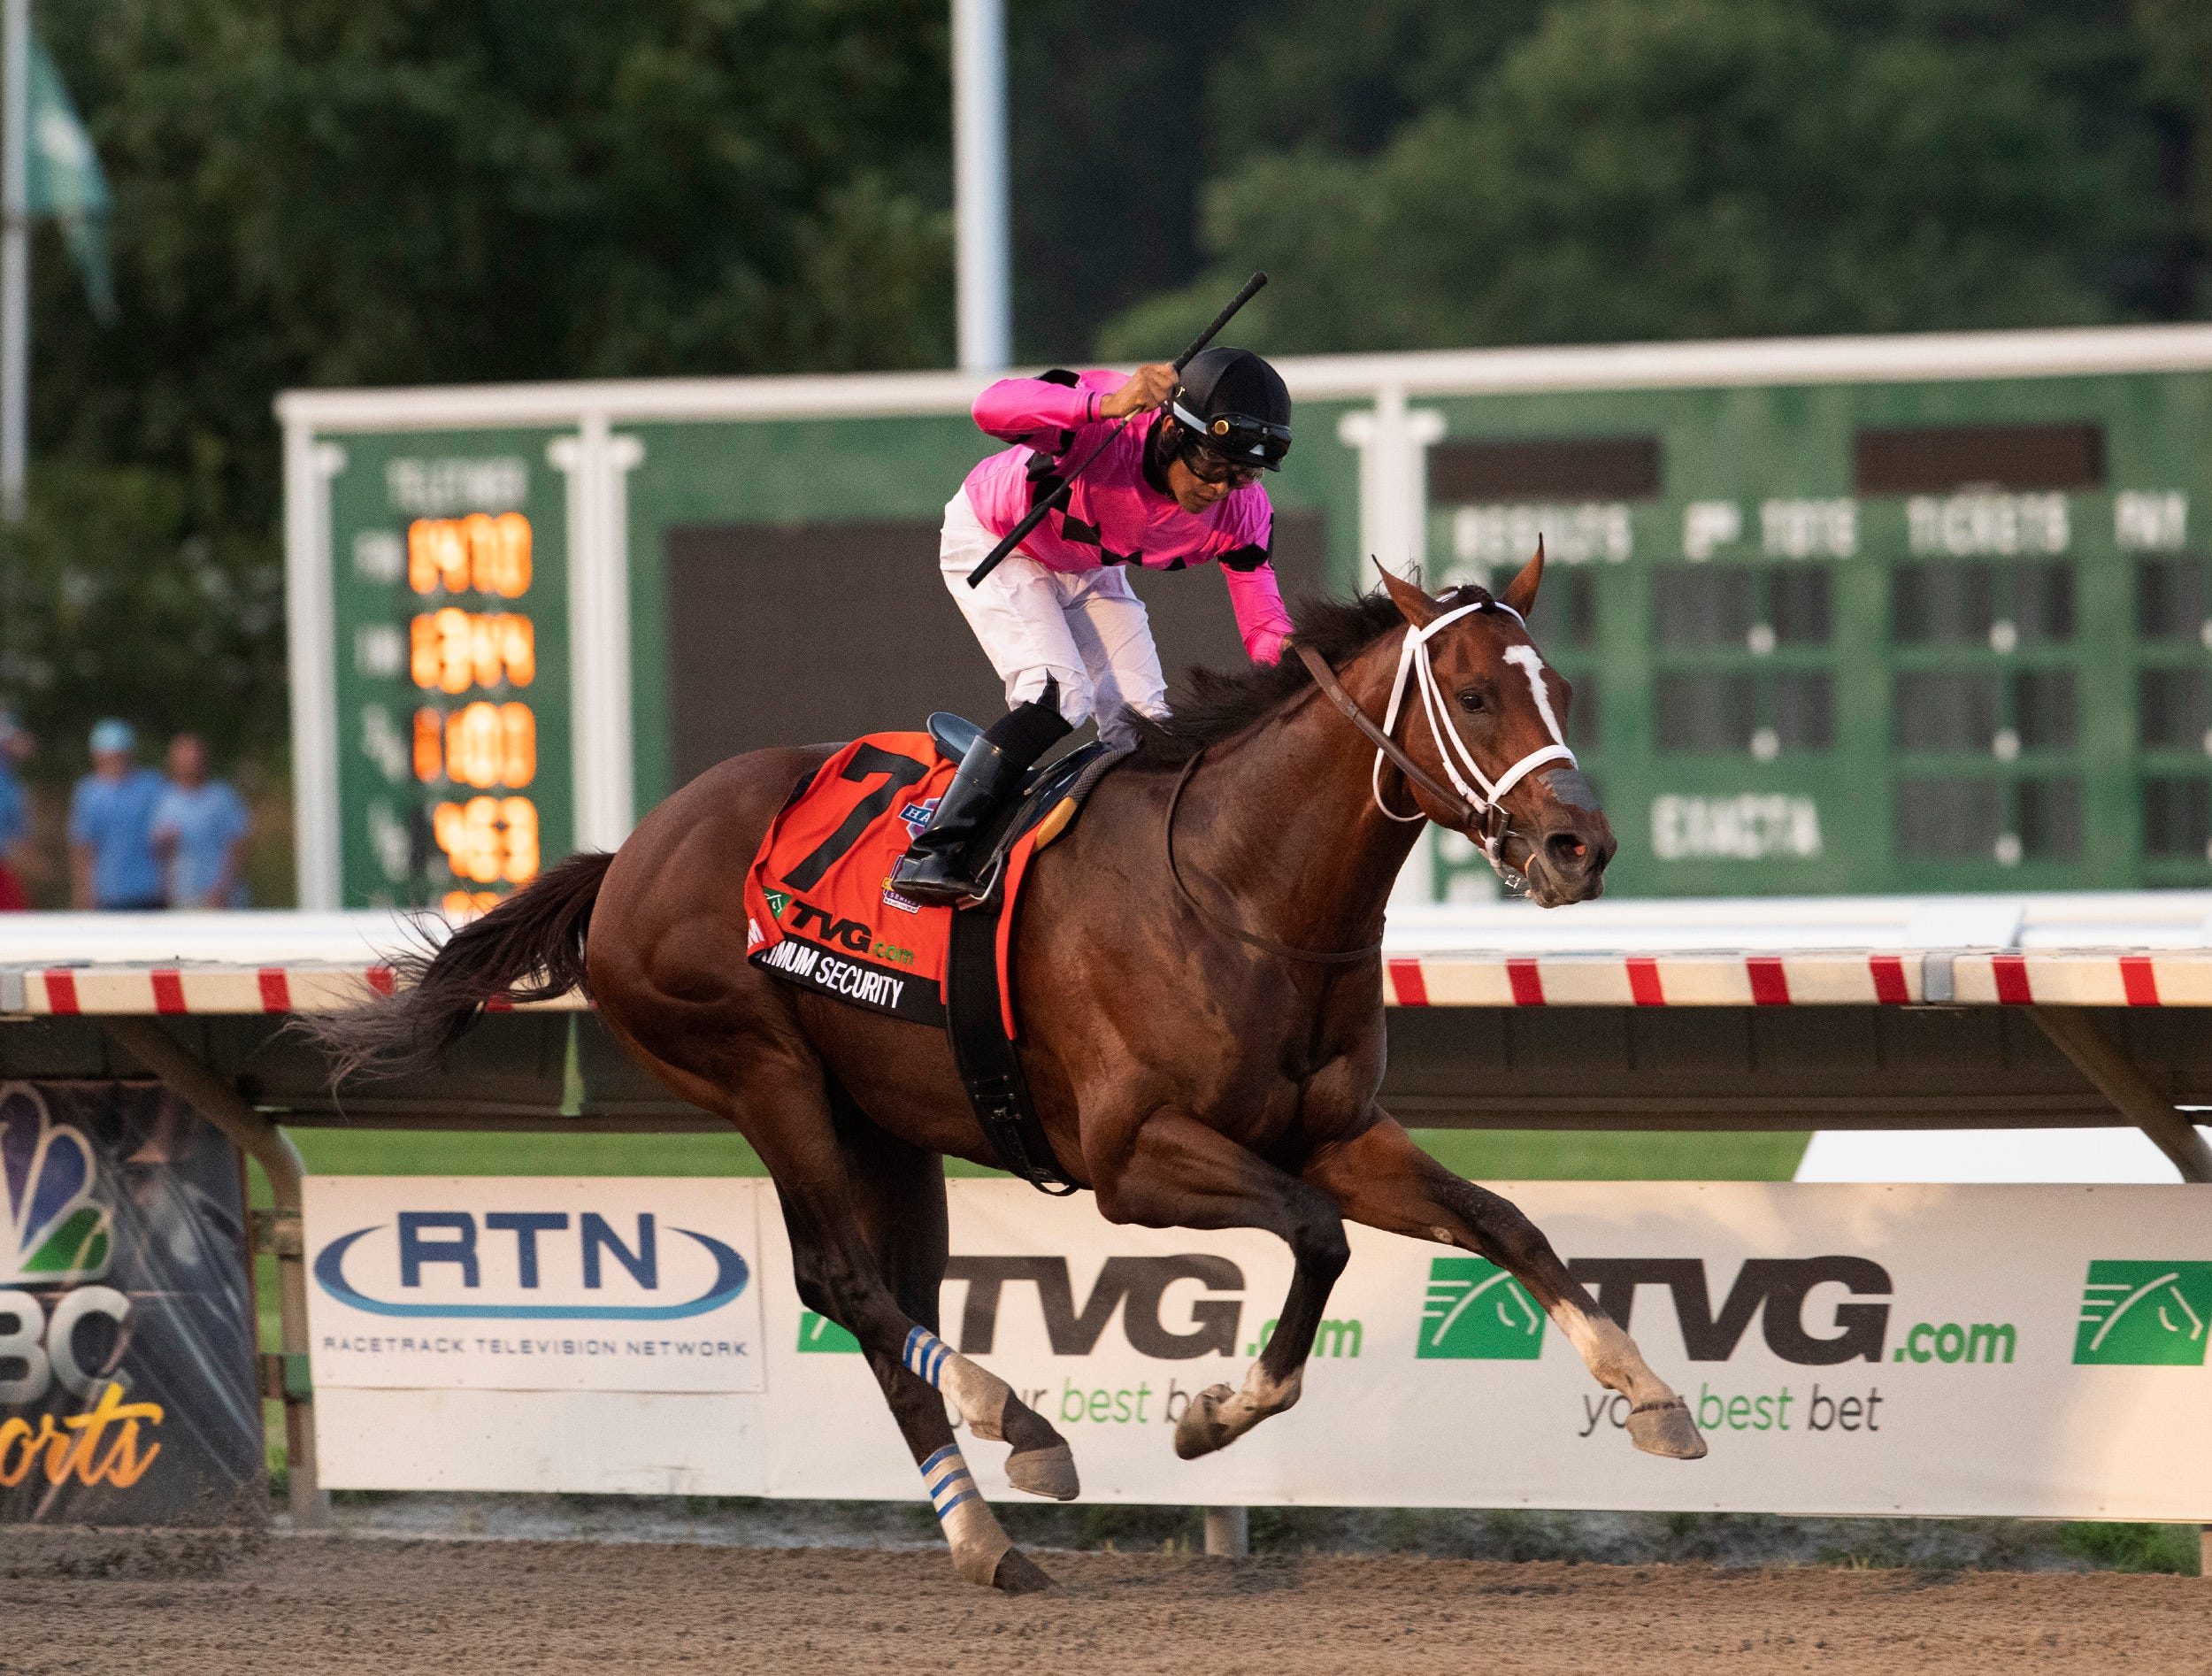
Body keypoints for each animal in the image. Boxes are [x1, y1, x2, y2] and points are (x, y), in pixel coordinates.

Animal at [309, 553, 1707, 1593]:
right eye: (1470, 694)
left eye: (1556, 683)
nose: (1579, 845)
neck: (1242, 887)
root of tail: (629, 855)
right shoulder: (1136, 1161)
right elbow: (1316, 1237)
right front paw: (1212, 1412)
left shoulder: (1335, 1132)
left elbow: (1504, 1219)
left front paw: (1651, 1396)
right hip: (759, 1071)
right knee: (841, 1278)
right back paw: (1014, 1422)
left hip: (887, 1124)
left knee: (890, 1295)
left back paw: (986, 1526)